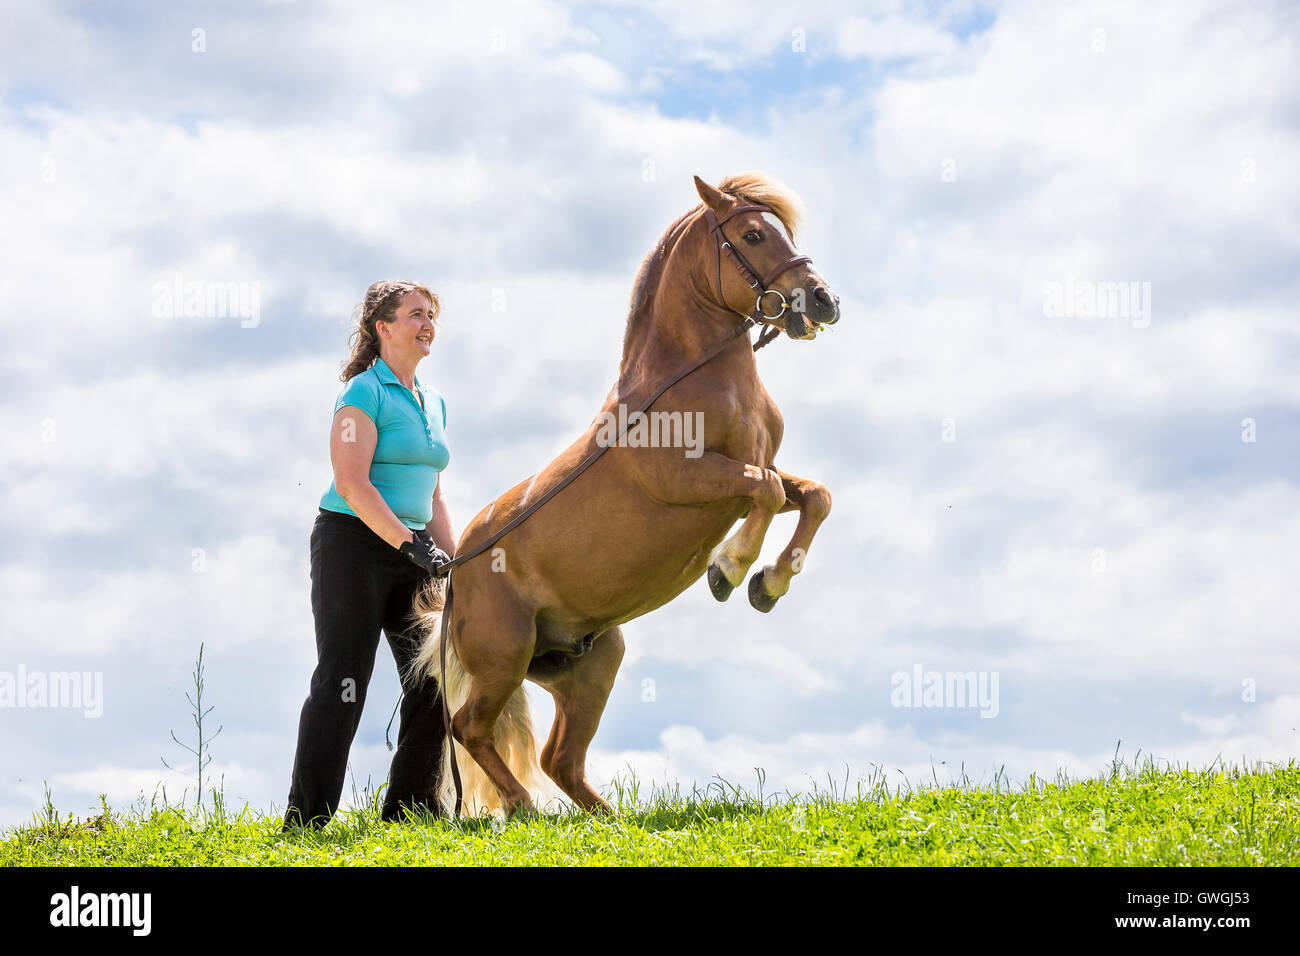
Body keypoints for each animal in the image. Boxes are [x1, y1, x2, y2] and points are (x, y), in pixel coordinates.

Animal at [410, 172, 841, 817]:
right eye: (752, 234)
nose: (822, 301)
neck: (692, 383)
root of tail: (458, 568)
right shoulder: (697, 481)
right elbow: (765, 493)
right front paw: (729, 570)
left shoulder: (753, 472)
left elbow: (814, 496)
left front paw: (768, 584)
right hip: (504, 659)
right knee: (471, 729)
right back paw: (524, 808)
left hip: (591, 664)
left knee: (558, 759)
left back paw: (609, 821)